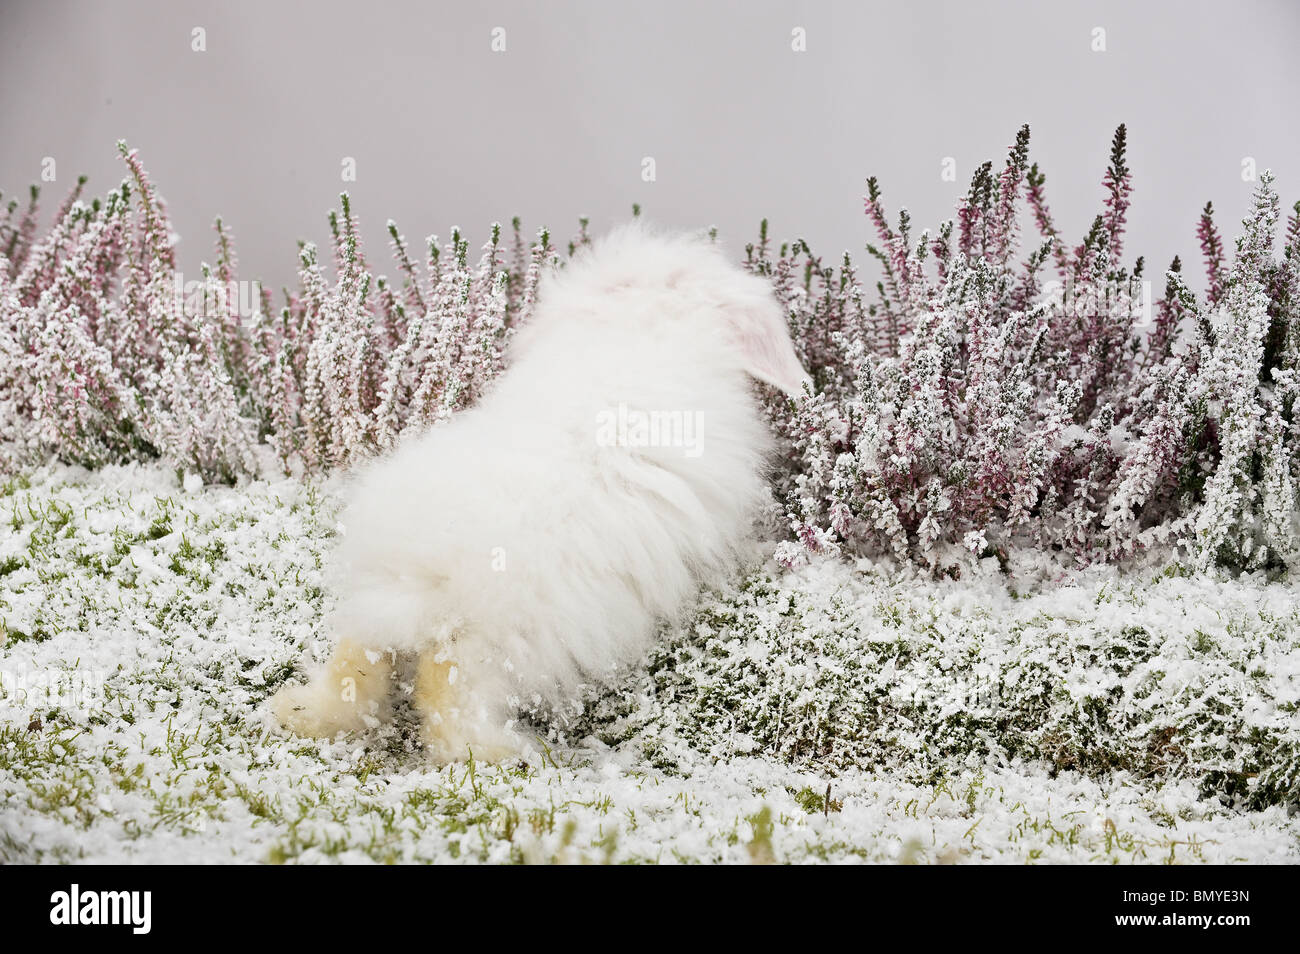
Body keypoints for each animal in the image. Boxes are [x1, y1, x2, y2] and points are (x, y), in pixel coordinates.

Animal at [269, 222, 809, 761]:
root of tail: (414, 577)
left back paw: (298, 711)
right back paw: (510, 752)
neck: (640, 322)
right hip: (499, 644)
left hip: (371, 624)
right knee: (444, 697)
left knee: (354, 671)